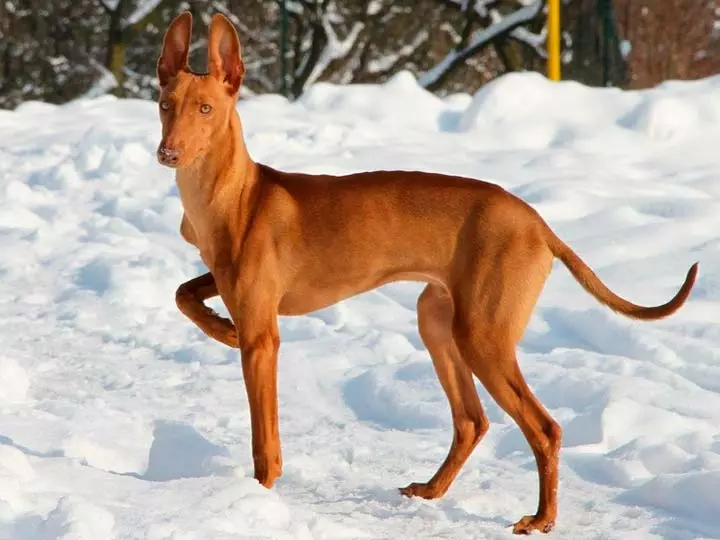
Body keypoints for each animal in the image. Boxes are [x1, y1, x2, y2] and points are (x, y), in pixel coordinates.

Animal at [156, 12, 696, 536]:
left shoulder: (263, 339)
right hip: (438, 320)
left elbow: (263, 438)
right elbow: (183, 292)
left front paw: (259, 493)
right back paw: (433, 490)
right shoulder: (229, 287)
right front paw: (220, 327)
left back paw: (541, 519)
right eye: (166, 104)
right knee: (472, 420)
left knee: (543, 428)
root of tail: (538, 223)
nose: (168, 154)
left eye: (205, 109)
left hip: (481, 334)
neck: (234, 196)